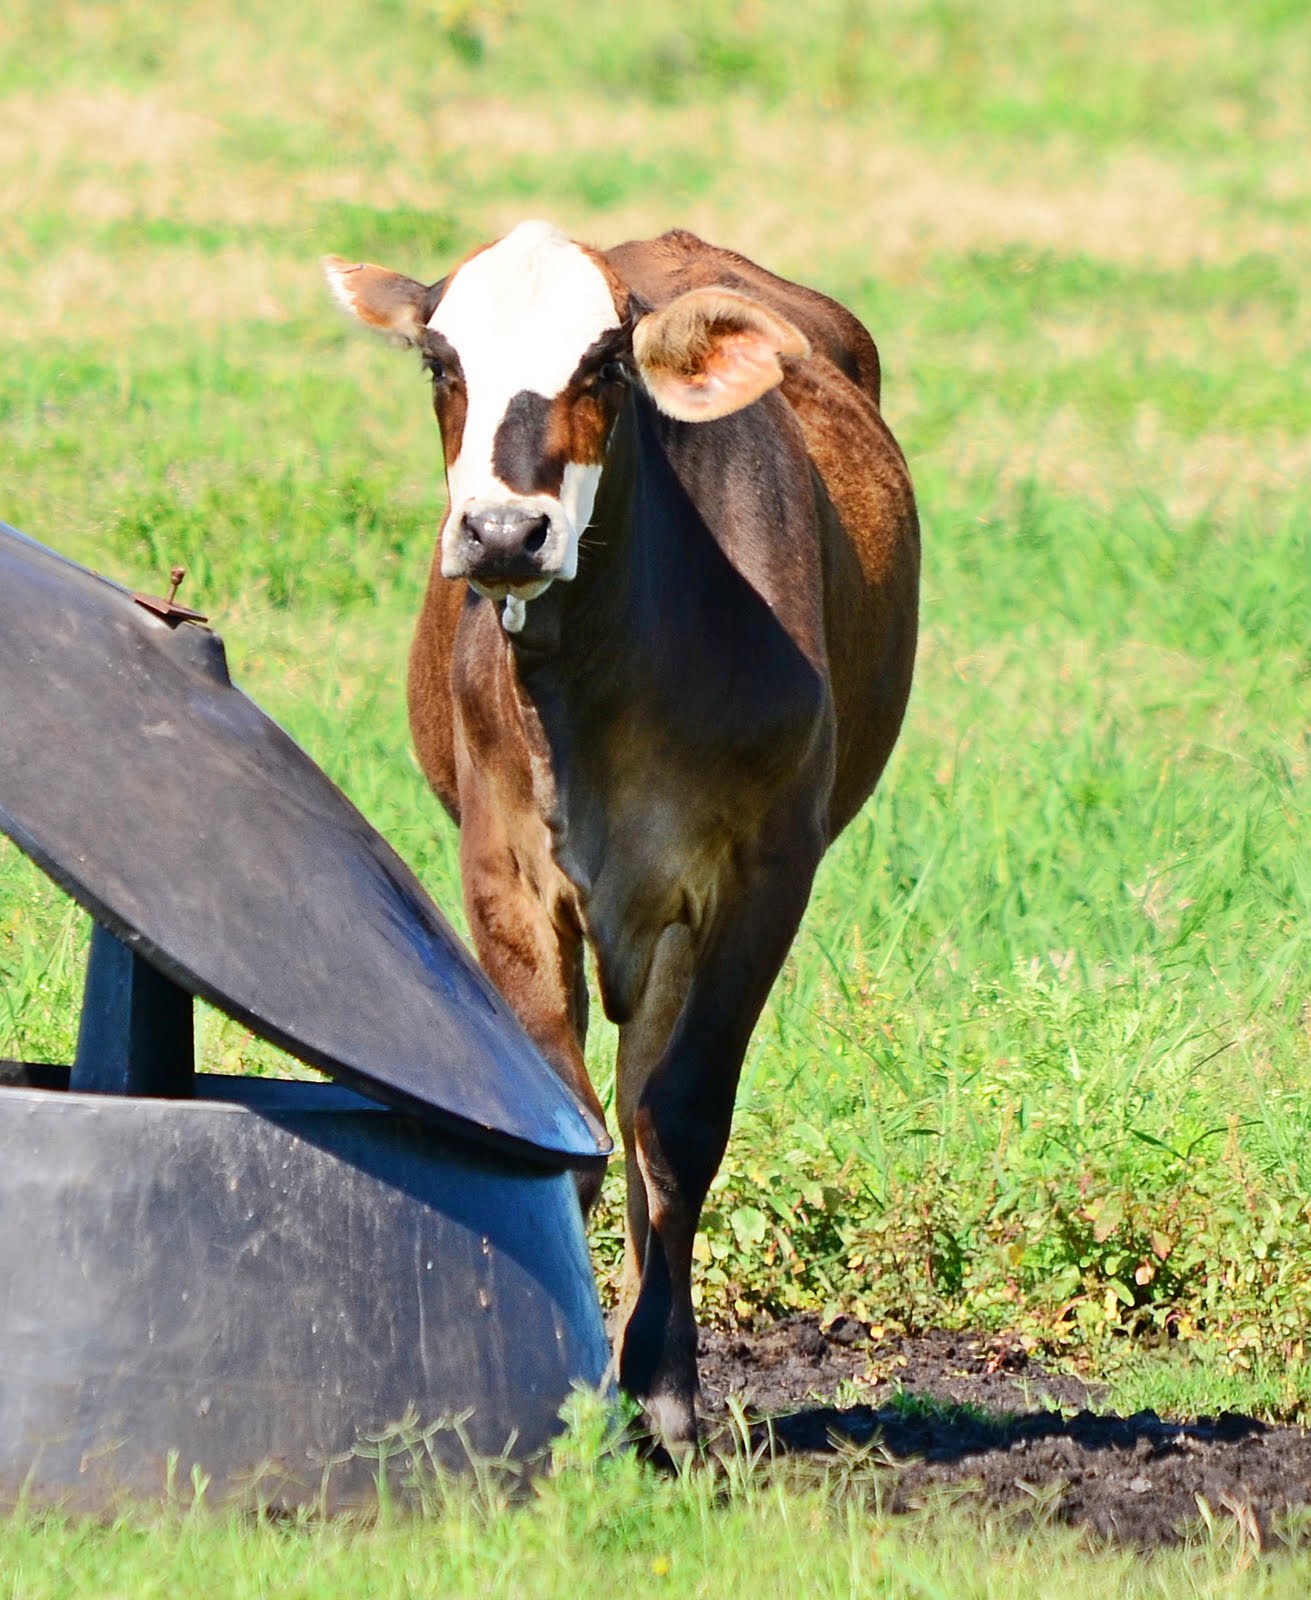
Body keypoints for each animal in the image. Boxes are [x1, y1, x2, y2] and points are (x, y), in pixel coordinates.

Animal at [323, 222, 919, 1447]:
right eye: (440, 363)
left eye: (603, 366)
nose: (505, 530)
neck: (599, 675)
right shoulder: (501, 869)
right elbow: (563, 1126)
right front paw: (578, 1388)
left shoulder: (763, 877)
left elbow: (680, 1121)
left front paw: (660, 1386)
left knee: (653, 1110)